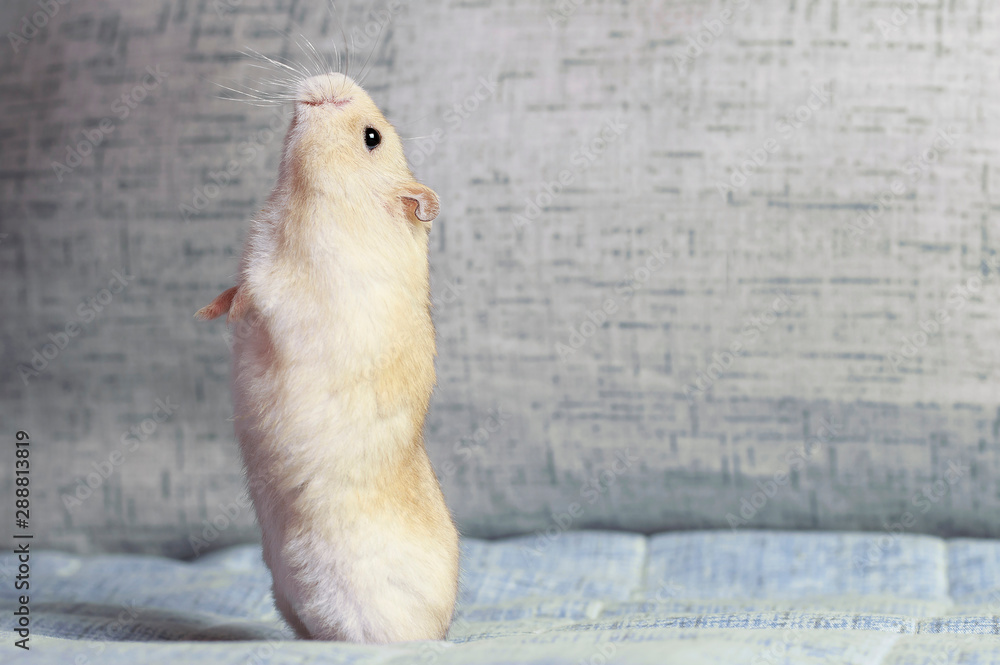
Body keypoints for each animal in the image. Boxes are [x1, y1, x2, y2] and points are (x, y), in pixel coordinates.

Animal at [196, 72, 459, 643]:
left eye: (371, 137)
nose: (327, 81)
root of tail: (440, 633)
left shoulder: (291, 282)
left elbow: (258, 292)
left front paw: (229, 316)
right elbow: (234, 289)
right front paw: (207, 311)